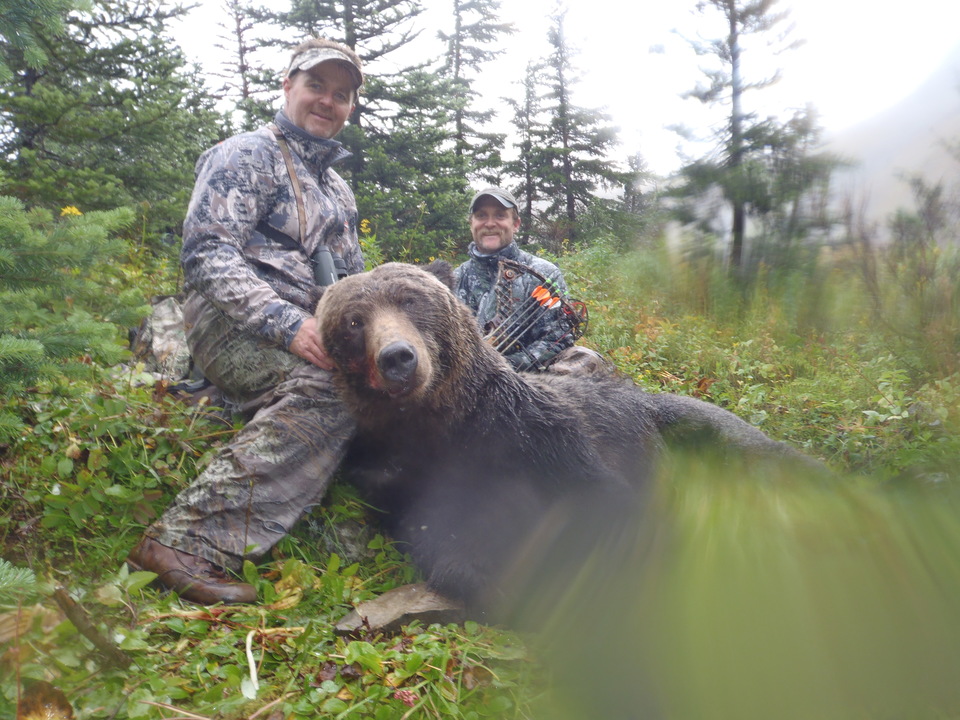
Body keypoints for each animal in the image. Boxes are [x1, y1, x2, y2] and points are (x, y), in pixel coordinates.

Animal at [315, 261, 825, 619]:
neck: (444, 425)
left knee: (757, 449)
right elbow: (442, 542)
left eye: (410, 299)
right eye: (354, 321)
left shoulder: (540, 432)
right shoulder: (397, 476)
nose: (397, 358)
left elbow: (607, 507)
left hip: (694, 427)